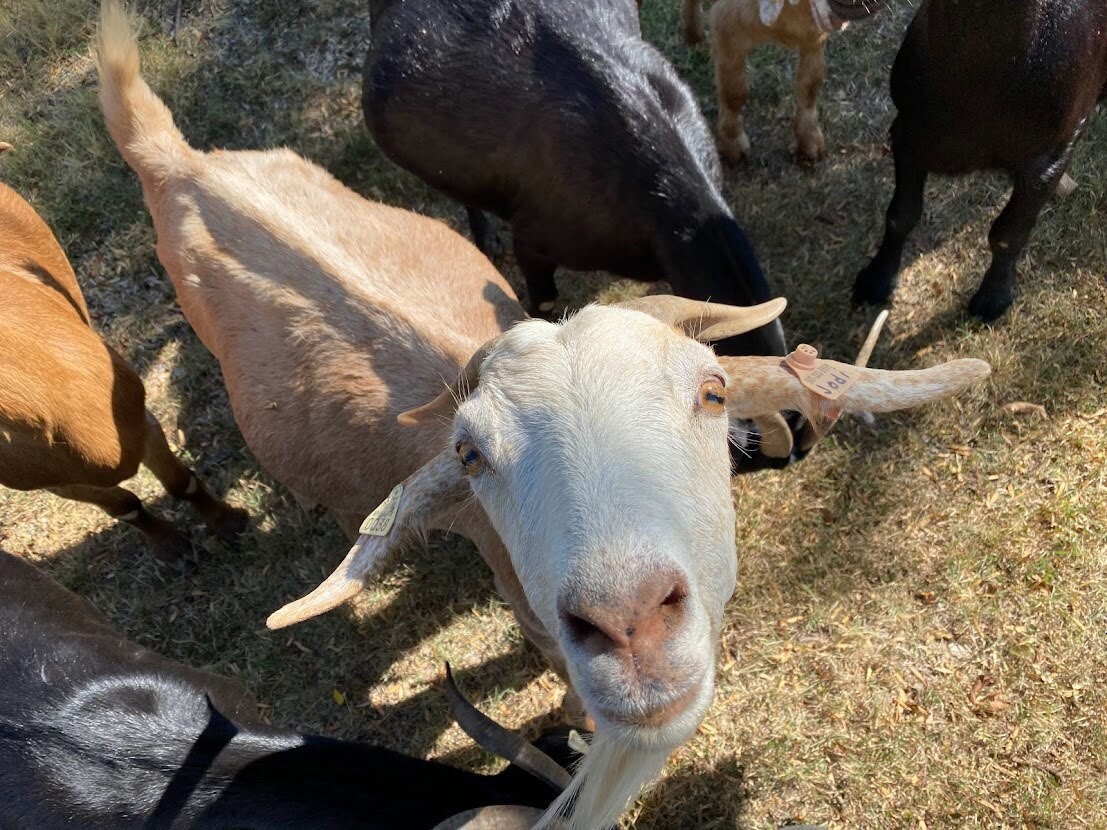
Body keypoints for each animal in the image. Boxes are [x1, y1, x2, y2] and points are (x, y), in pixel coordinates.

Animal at [0, 181, 246, 567]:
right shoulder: (56, 482)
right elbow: (123, 506)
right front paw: (170, 548)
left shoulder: (142, 423)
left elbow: (180, 482)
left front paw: (229, 523)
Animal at [682, 0, 887, 164]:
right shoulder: (727, 27)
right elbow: (734, 91)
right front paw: (733, 147)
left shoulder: (814, 35)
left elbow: (810, 84)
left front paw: (809, 145)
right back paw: (694, 37)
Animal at [853, 0, 1107, 321]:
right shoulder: (907, 135)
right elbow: (901, 215)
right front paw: (876, 279)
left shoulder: (1051, 160)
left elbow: (1008, 234)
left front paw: (993, 298)